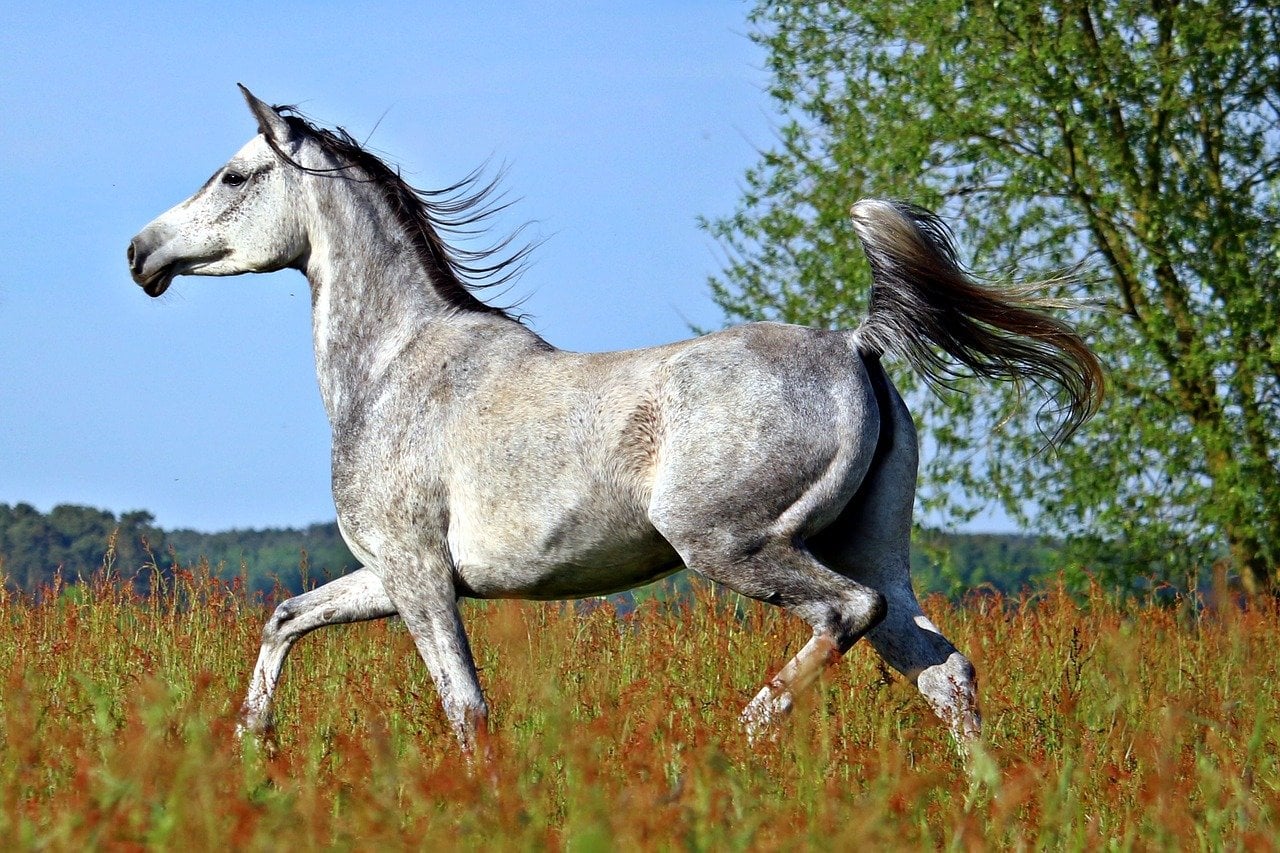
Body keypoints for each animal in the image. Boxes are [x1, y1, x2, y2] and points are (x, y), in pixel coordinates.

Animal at [128, 86, 1103, 754]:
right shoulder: (390, 574)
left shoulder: (417, 575)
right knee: (944, 672)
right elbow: (285, 618)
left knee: (847, 616)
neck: (397, 363)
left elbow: (465, 708)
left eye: (235, 174)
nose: (142, 251)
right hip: (872, 549)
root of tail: (857, 347)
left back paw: (742, 733)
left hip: (733, 546)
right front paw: (252, 742)